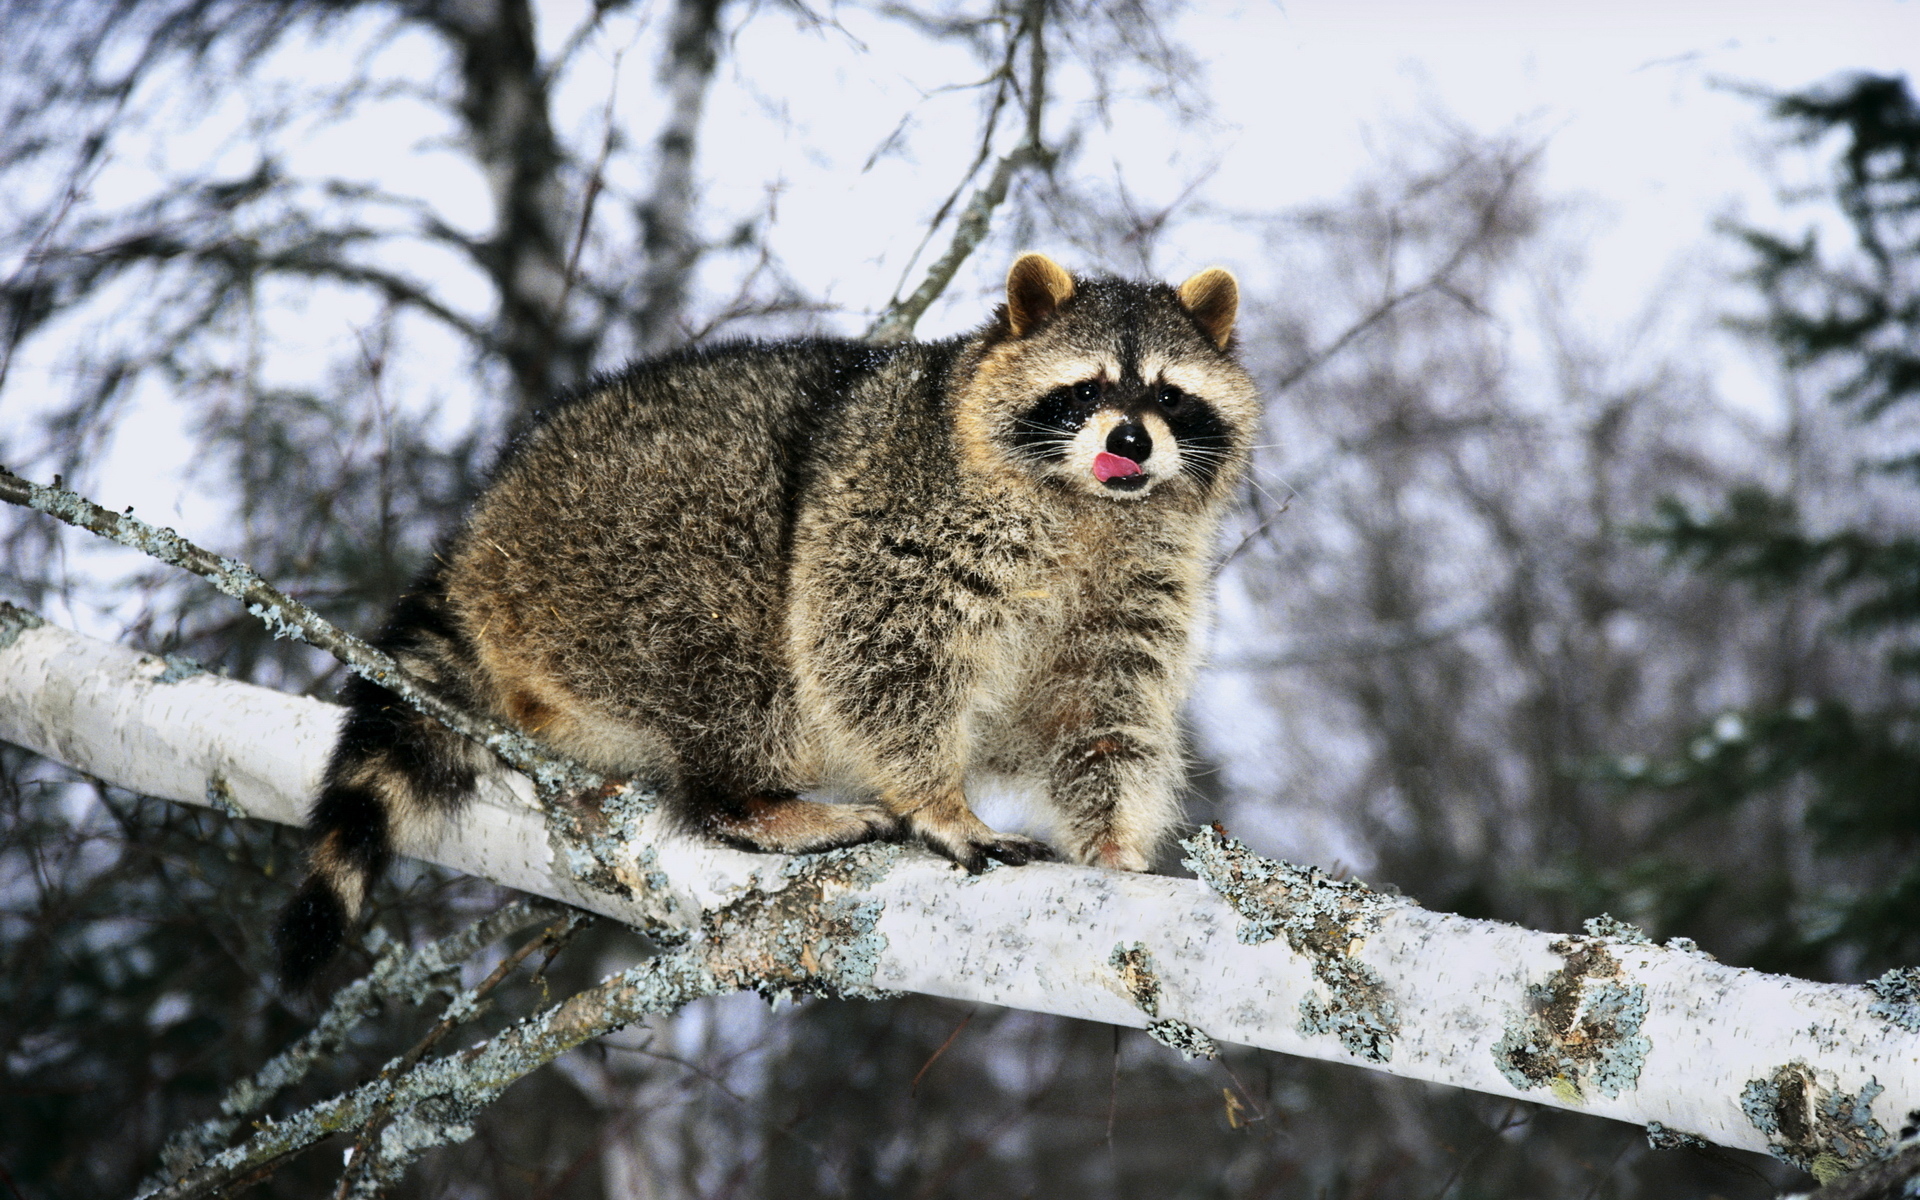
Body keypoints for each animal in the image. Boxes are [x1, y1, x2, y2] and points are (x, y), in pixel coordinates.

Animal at [274, 253, 1257, 986]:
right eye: (1086, 389)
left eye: (1169, 396)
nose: (1129, 441)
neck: (1090, 509)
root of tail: (480, 535)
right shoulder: (899, 511)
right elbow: (875, 650)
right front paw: (936, 798)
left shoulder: (1138, 582)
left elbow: (1102, 709)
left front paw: (1113, 841)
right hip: (615, 548)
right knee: (737, 647)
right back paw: (745, 798)